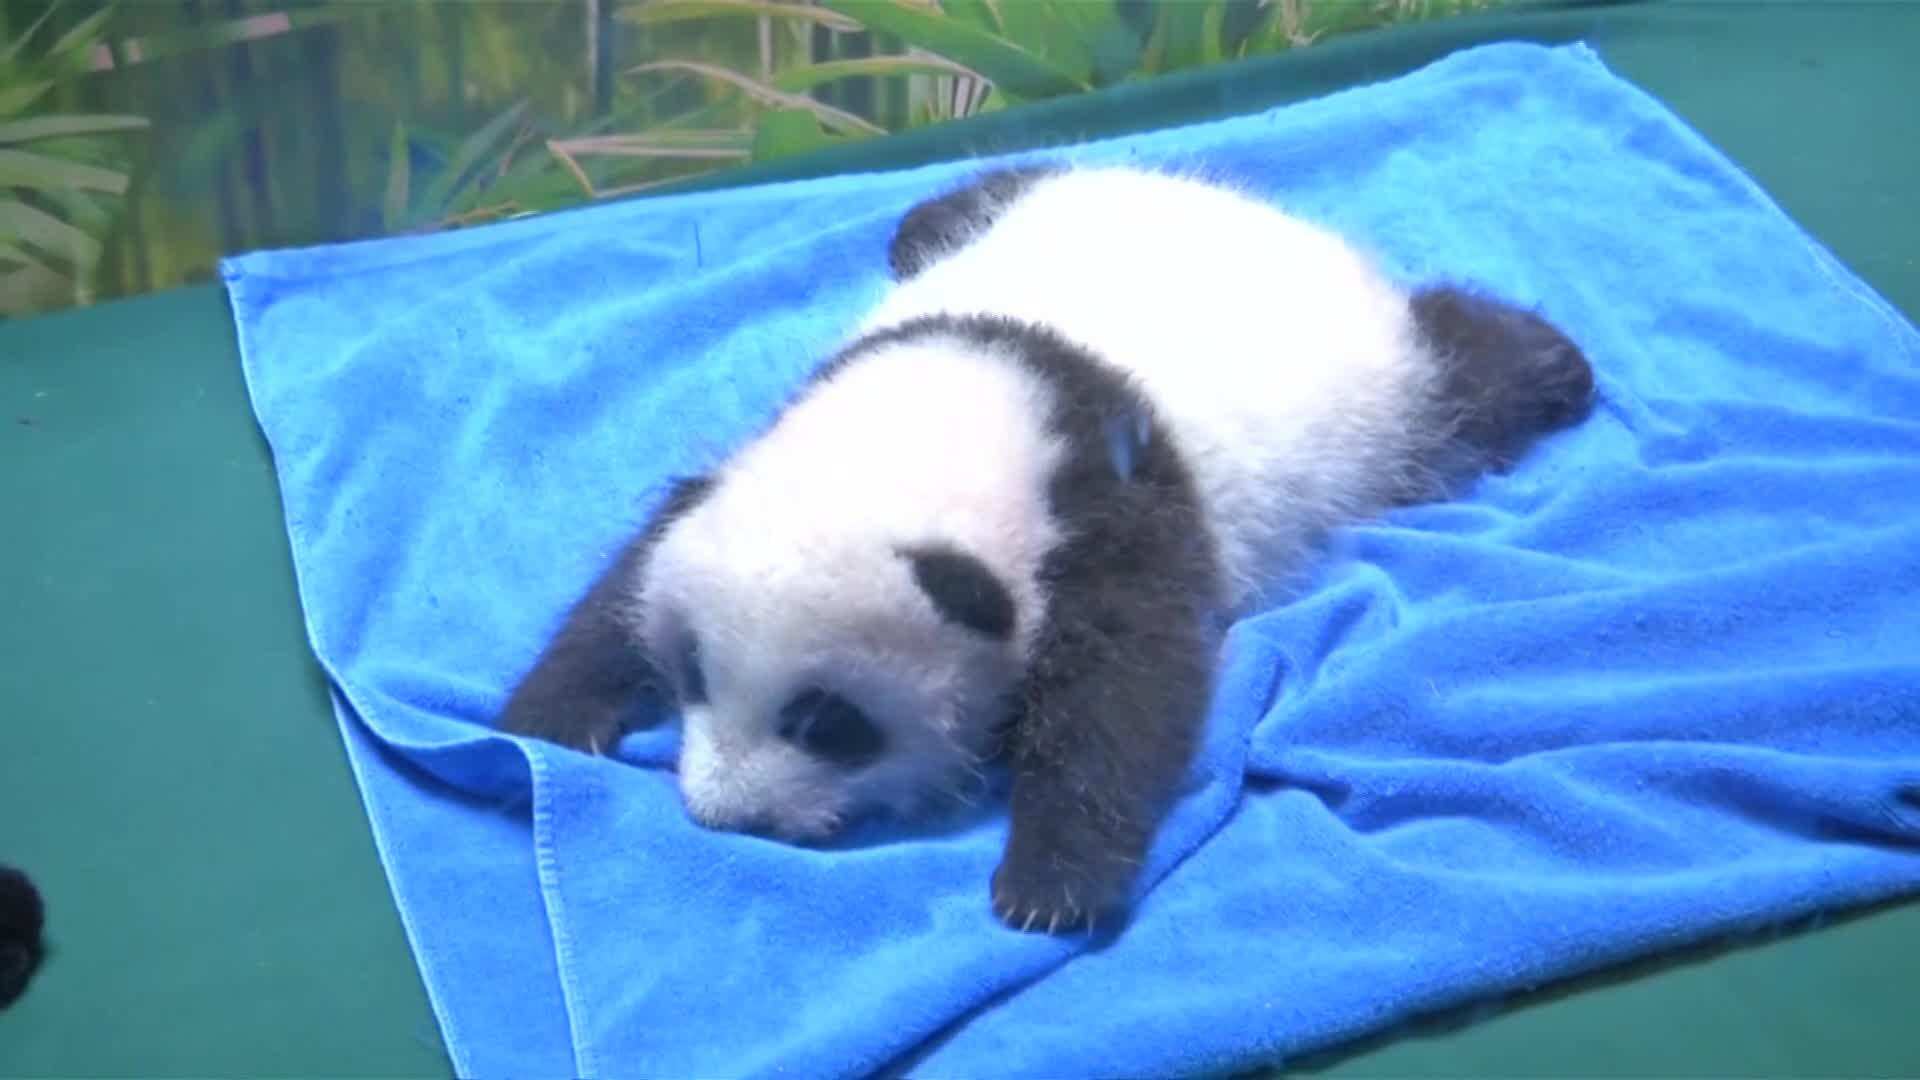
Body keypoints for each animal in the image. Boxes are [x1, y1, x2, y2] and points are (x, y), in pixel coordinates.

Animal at [498, 164, 1595, 934]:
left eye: (827, 724)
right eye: (692, 674)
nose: (725, 816)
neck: (964, 403)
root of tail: (1279, 222)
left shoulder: (1111, 505)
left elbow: (1126, 685)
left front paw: (1051, 882)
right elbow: (635, 566)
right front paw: (549, 713)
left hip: (1386, 397)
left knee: (1470, 371)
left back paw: (1561, 368)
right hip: (1040, 193)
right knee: (964, 202)